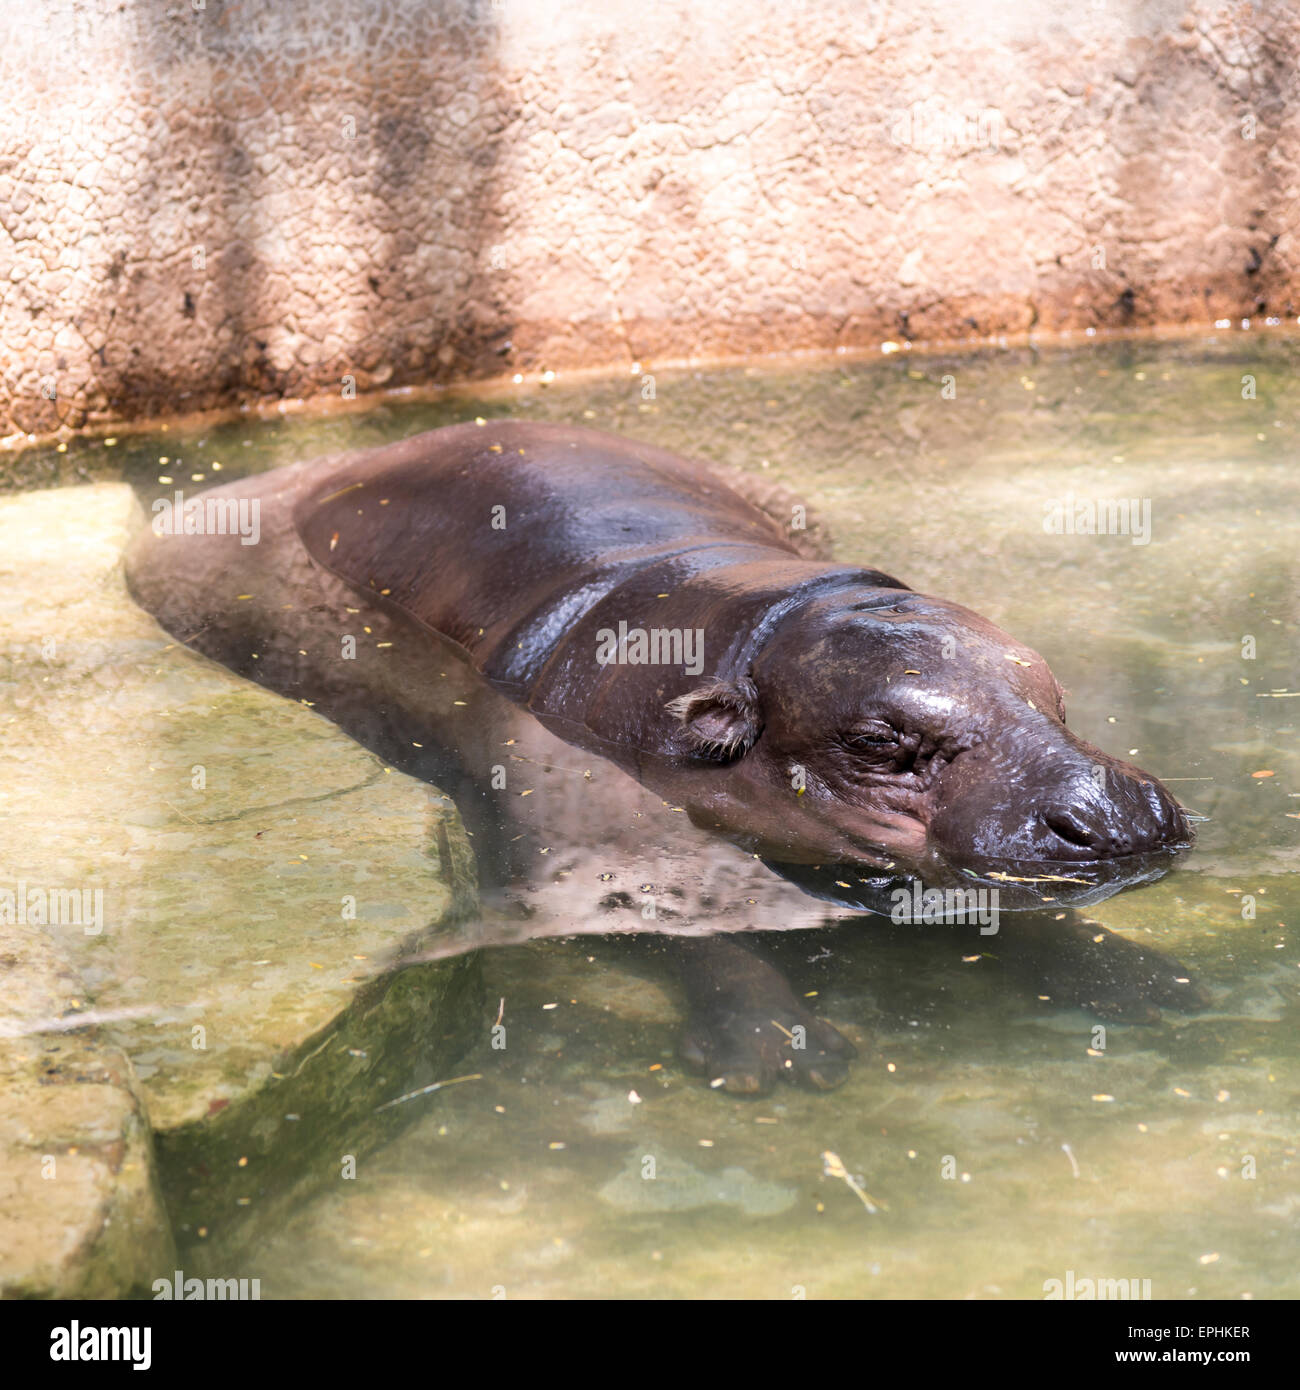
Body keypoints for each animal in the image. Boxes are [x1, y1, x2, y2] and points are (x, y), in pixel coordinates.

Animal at [126, 420, 1204, 1093]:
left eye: (1047, 685)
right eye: (876, 743)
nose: (1116, 816)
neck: (757, 626)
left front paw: (1159, 987)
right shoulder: (580, 847)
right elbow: (687, 932)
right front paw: (778, 1053)